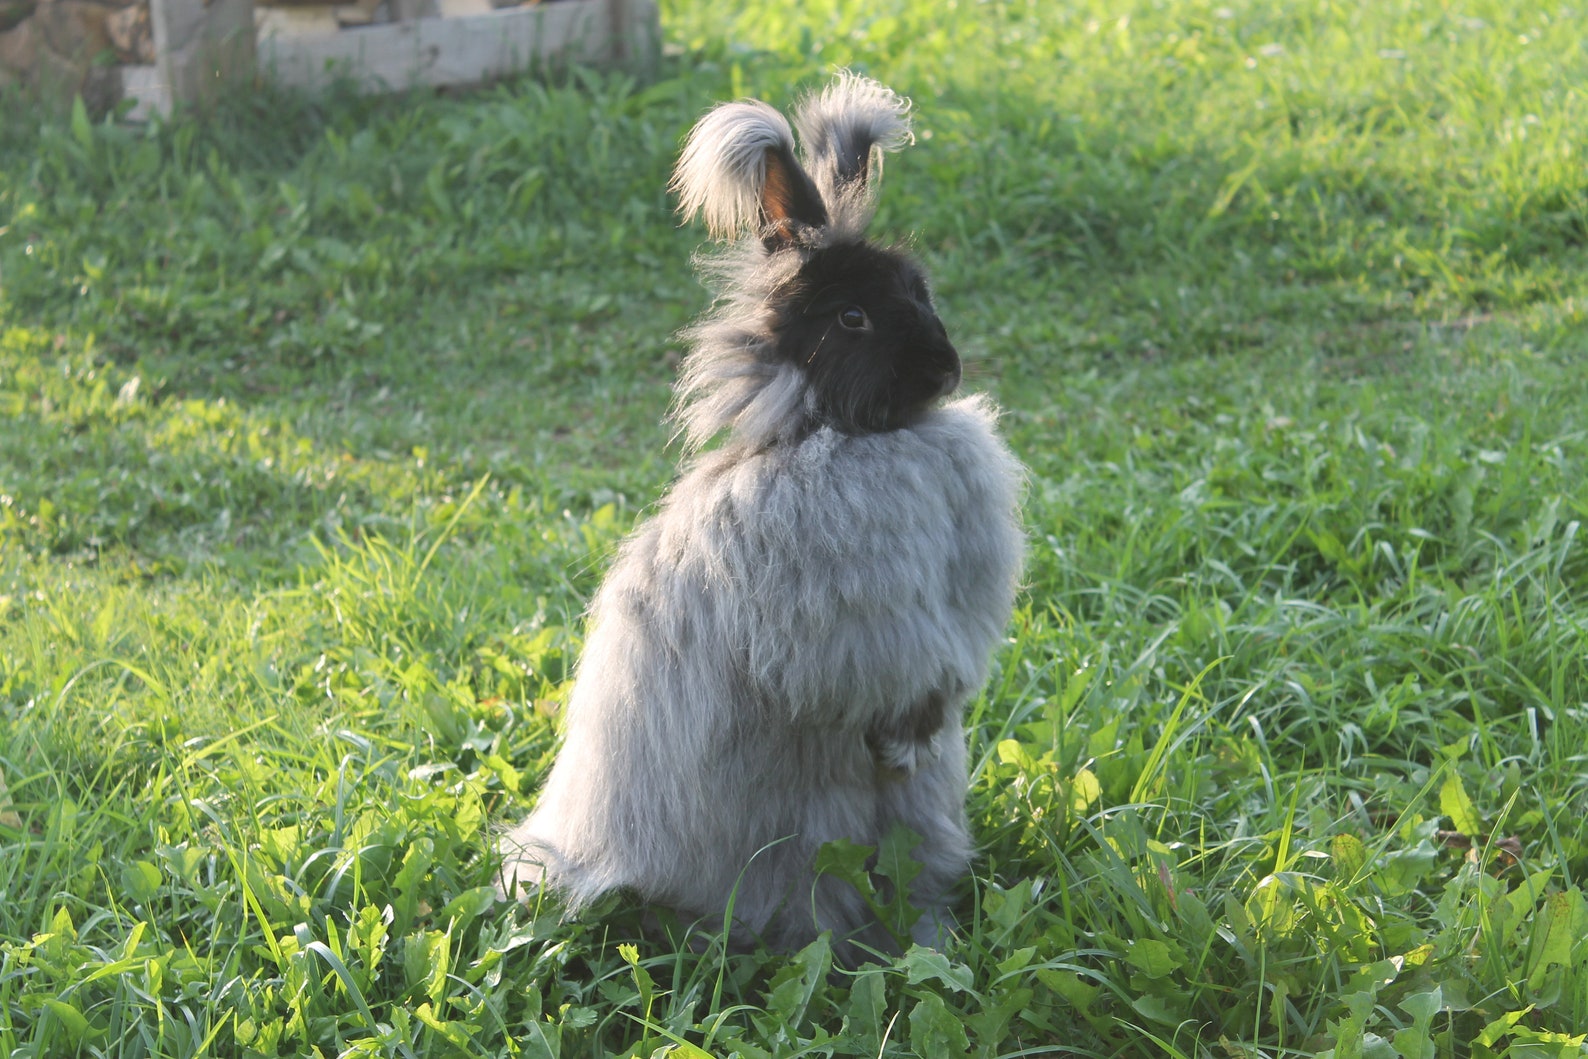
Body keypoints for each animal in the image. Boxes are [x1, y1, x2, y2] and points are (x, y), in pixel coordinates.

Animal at [498, 72, 1024, 963]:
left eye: (921, 293)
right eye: (852, 318)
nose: (945, 368)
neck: (855, 434)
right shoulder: (858, 630)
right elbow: (884, 682)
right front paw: (902, 736)